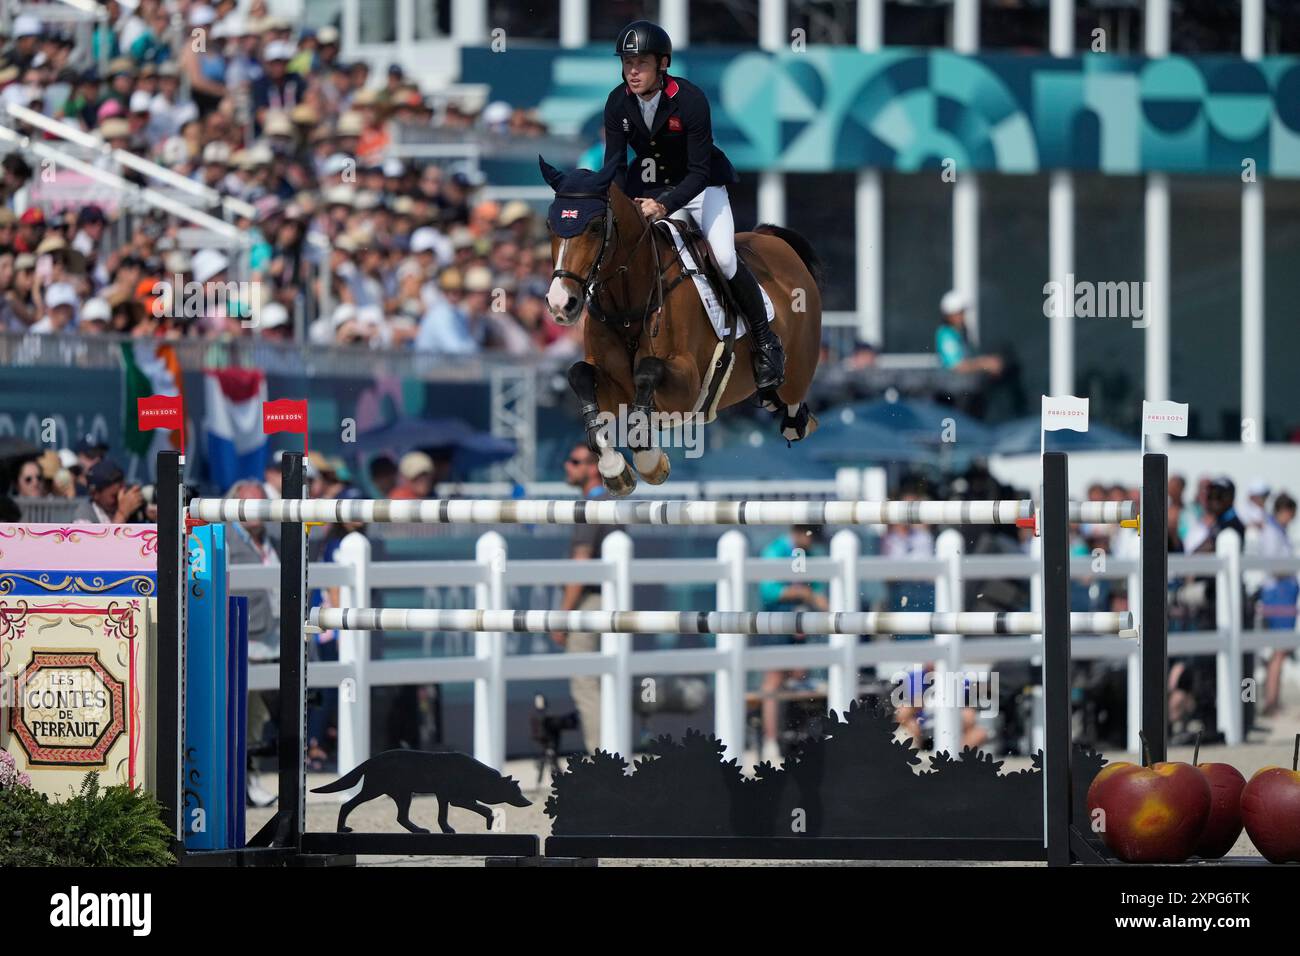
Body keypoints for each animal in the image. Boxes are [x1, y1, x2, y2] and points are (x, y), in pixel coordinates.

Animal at [540, 156, 823, 497]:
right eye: (550, 226)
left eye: (595, 227)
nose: (561, 303)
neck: (628, 302)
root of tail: (774, 241)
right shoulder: (614, 386)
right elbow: (579, 374)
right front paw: (613, 466)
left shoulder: (686, 389)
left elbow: (648, 369)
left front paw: (649, 458)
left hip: (798, 369)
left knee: (793, 400)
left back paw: (785, 397)